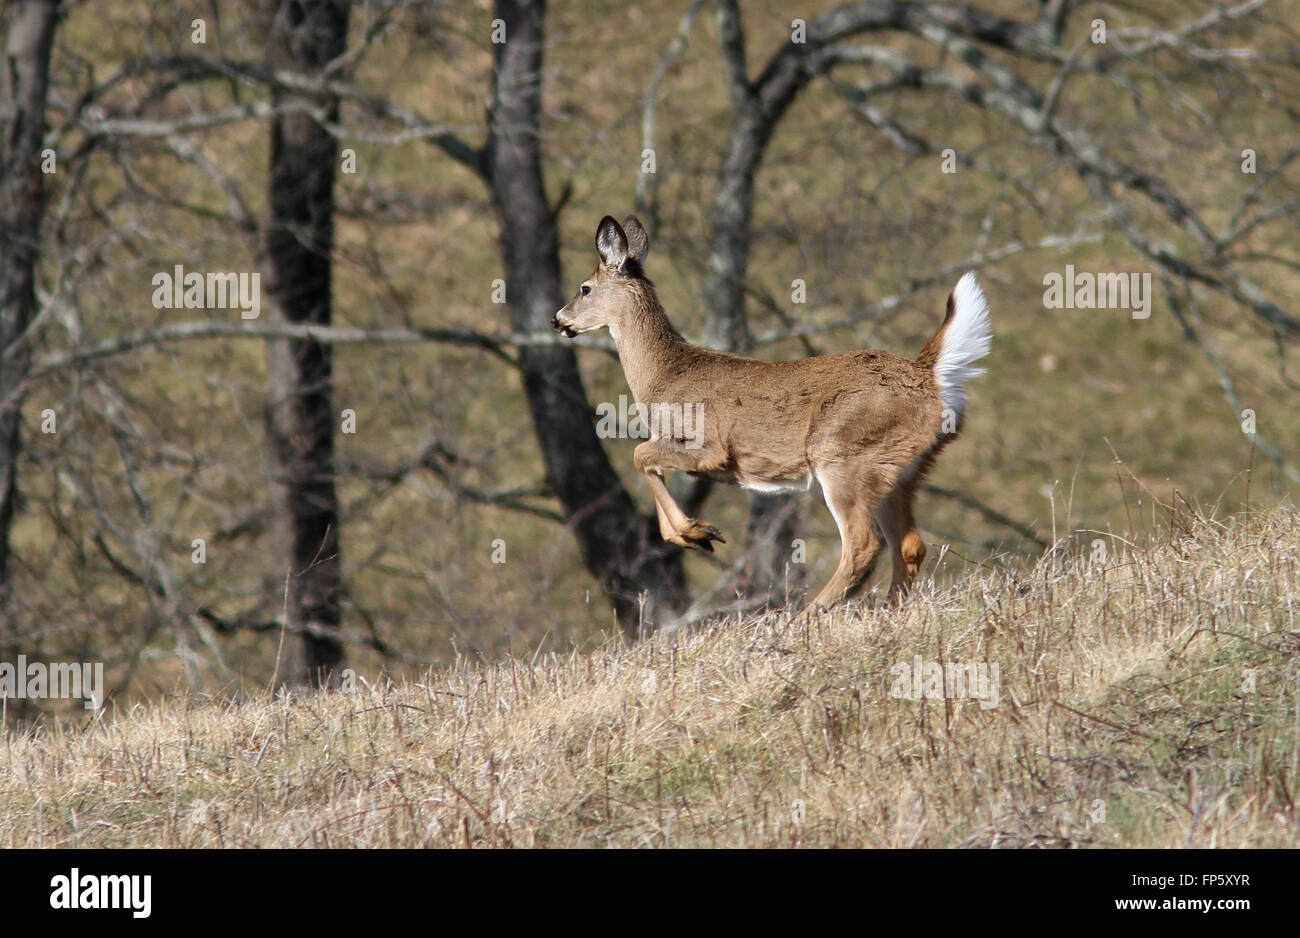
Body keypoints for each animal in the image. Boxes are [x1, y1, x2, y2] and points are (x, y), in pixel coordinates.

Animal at [553, 215, 992, 612]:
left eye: (585, 288)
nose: (558, 319)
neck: (663, 375)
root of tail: (928, 377)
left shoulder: (707, 444)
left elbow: (639, 455)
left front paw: (697, 531)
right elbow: (647, 462)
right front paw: (695, 534)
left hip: (842, 453)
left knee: (864, 543)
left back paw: (810, 615)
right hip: (901, 471)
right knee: (911, 545)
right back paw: (886, 607)